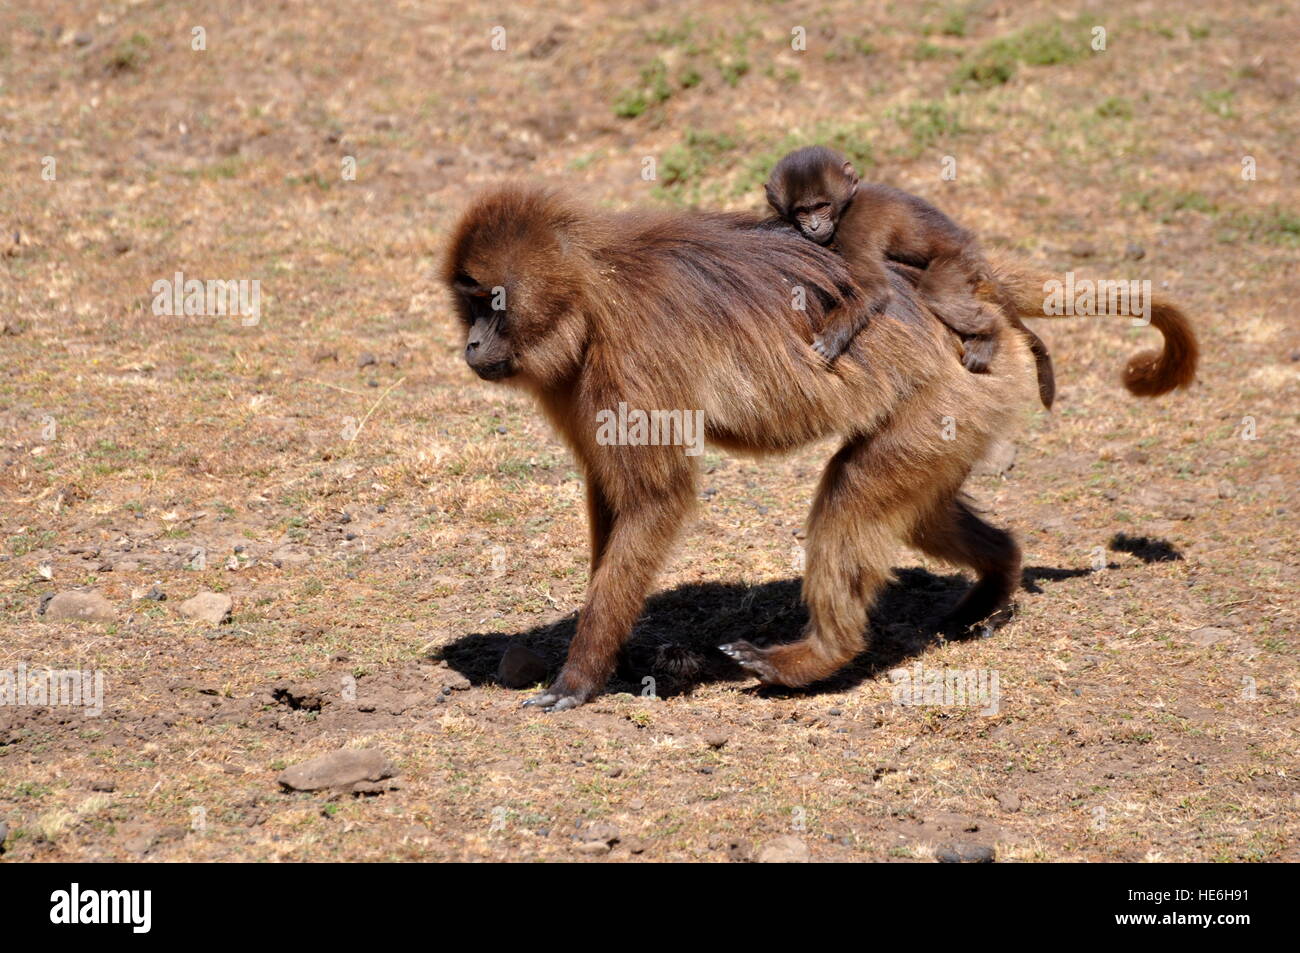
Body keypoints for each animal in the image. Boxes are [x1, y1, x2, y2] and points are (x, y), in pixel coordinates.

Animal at [443, 183, 1197, 711]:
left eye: (492, 302)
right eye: (470, 302)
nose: (472, 345)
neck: (591, 291)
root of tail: (977, 293)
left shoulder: (631, 354)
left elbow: (657, 501)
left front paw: (580, 674)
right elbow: (613, 497)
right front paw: (611, 652)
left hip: (952, 393)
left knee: (851, 496)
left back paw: (819, 655)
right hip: (964, 411)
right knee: (916, 510)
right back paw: (996, 576)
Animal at [765, 145, 1058, 408]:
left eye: (822, 206)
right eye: (802, 211)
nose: (815, 226)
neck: (847, 206)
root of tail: (971, 247)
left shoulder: (854, 226)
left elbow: (874, 289)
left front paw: (831, 339)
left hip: (958, 260)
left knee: (937, 295)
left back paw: (990, 332)